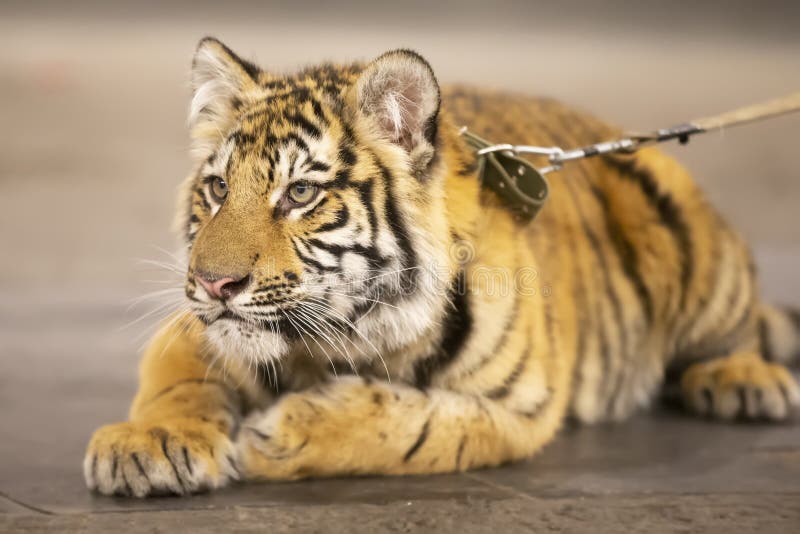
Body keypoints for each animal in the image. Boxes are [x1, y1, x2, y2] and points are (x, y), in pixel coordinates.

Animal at [84, 37, 800, 497]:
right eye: (218, 189)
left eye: (300, 193)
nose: (213, 283)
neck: (342, 337)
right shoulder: (190, 329)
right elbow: (177, 380)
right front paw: (145, 445)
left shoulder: (524, 406)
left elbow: (413, 424)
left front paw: (276, 437)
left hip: (696, 245)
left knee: (738, 329)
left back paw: (744, 382)